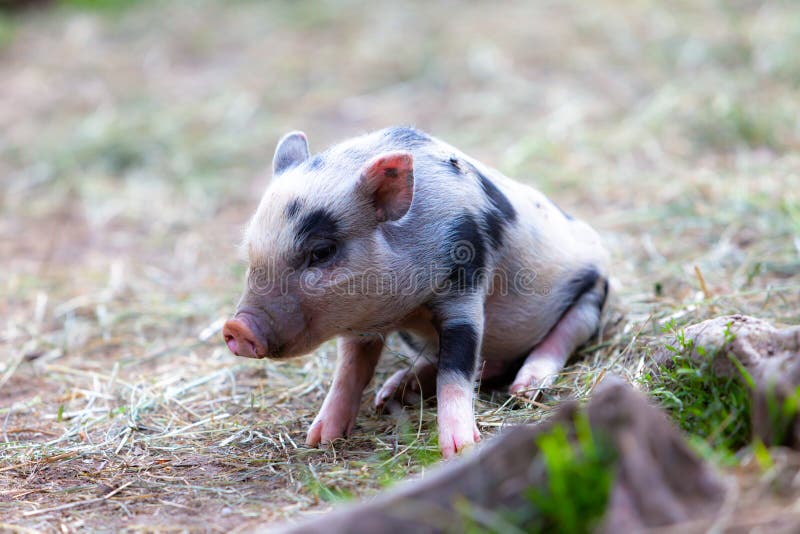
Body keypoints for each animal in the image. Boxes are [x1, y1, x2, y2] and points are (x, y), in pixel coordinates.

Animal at [223, 127, 609, 458]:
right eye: (251, 249)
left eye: (321, 251)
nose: (236, 328)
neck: (404, 307)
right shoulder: (360, 323)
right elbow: (349, 371)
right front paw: (319, 439)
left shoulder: (465, 285)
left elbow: (456, 368)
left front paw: (461, 448)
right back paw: (391, 393)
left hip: (593, 296)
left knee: (563, 334)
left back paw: (525, 390)